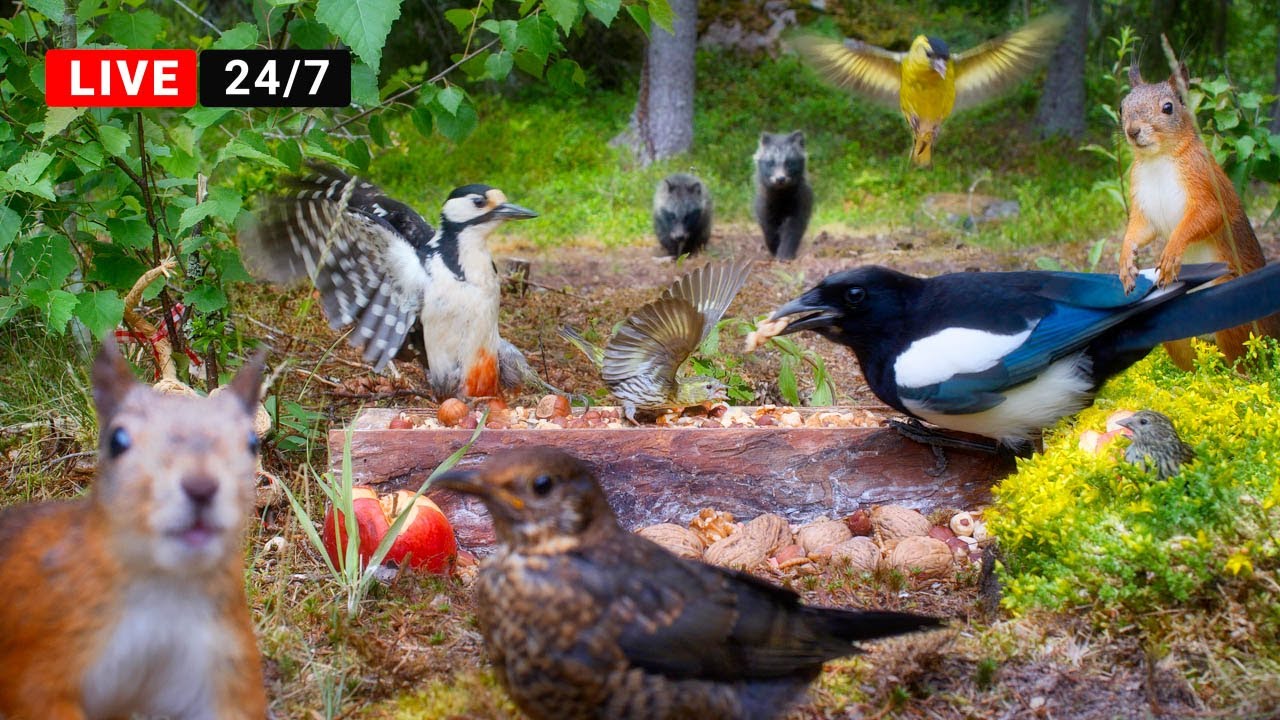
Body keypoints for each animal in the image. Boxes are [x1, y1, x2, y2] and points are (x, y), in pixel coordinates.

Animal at [0, 337, 268, 719]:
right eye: (117, 441)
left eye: (252, 443)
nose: (201, 487)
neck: (164, 585)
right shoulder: (43, 652)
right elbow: (37, 696)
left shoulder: (221, 662)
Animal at [1119, 61, 1280, 368]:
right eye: (1122, 106)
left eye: (1168, 107)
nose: (1132, 131)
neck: (1158, 159)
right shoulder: (1143, 202)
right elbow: (1138, 229)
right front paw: (1126, 261)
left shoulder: (1205, 182)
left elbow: (1207, 216)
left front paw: (1171, 252)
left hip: (1231, 314)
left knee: (1241, 360)